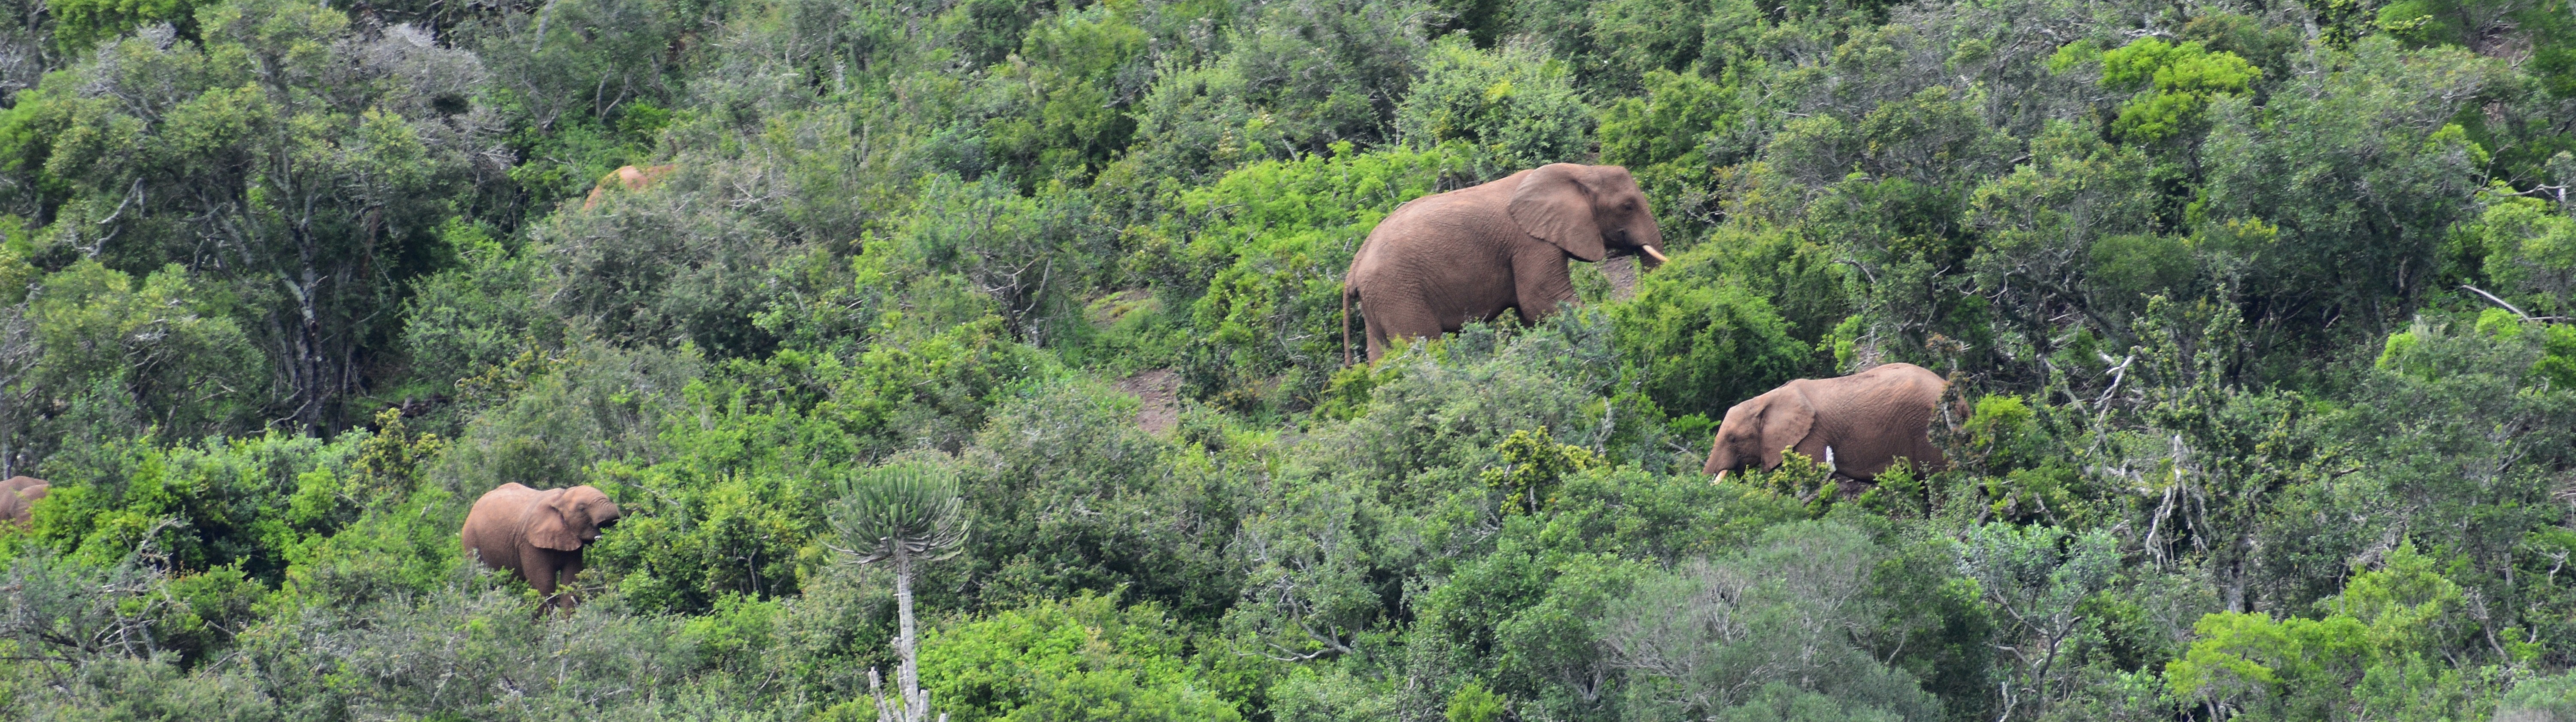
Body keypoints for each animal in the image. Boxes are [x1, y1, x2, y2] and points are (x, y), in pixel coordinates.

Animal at [461, 483, 623, 608]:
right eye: (582, 509)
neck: (560, 498)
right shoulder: (529, 543)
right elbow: (544, 585)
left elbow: (570, 582)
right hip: (471, 541)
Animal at [1342, 163, 1669, 364]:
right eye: (1627, 206)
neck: (1578, 172)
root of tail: (1352, 272)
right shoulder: (1531, 244)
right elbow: (1543, 302)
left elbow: (1532, 313)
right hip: (1398, 290)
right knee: (1424, 344)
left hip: (1380, 298)